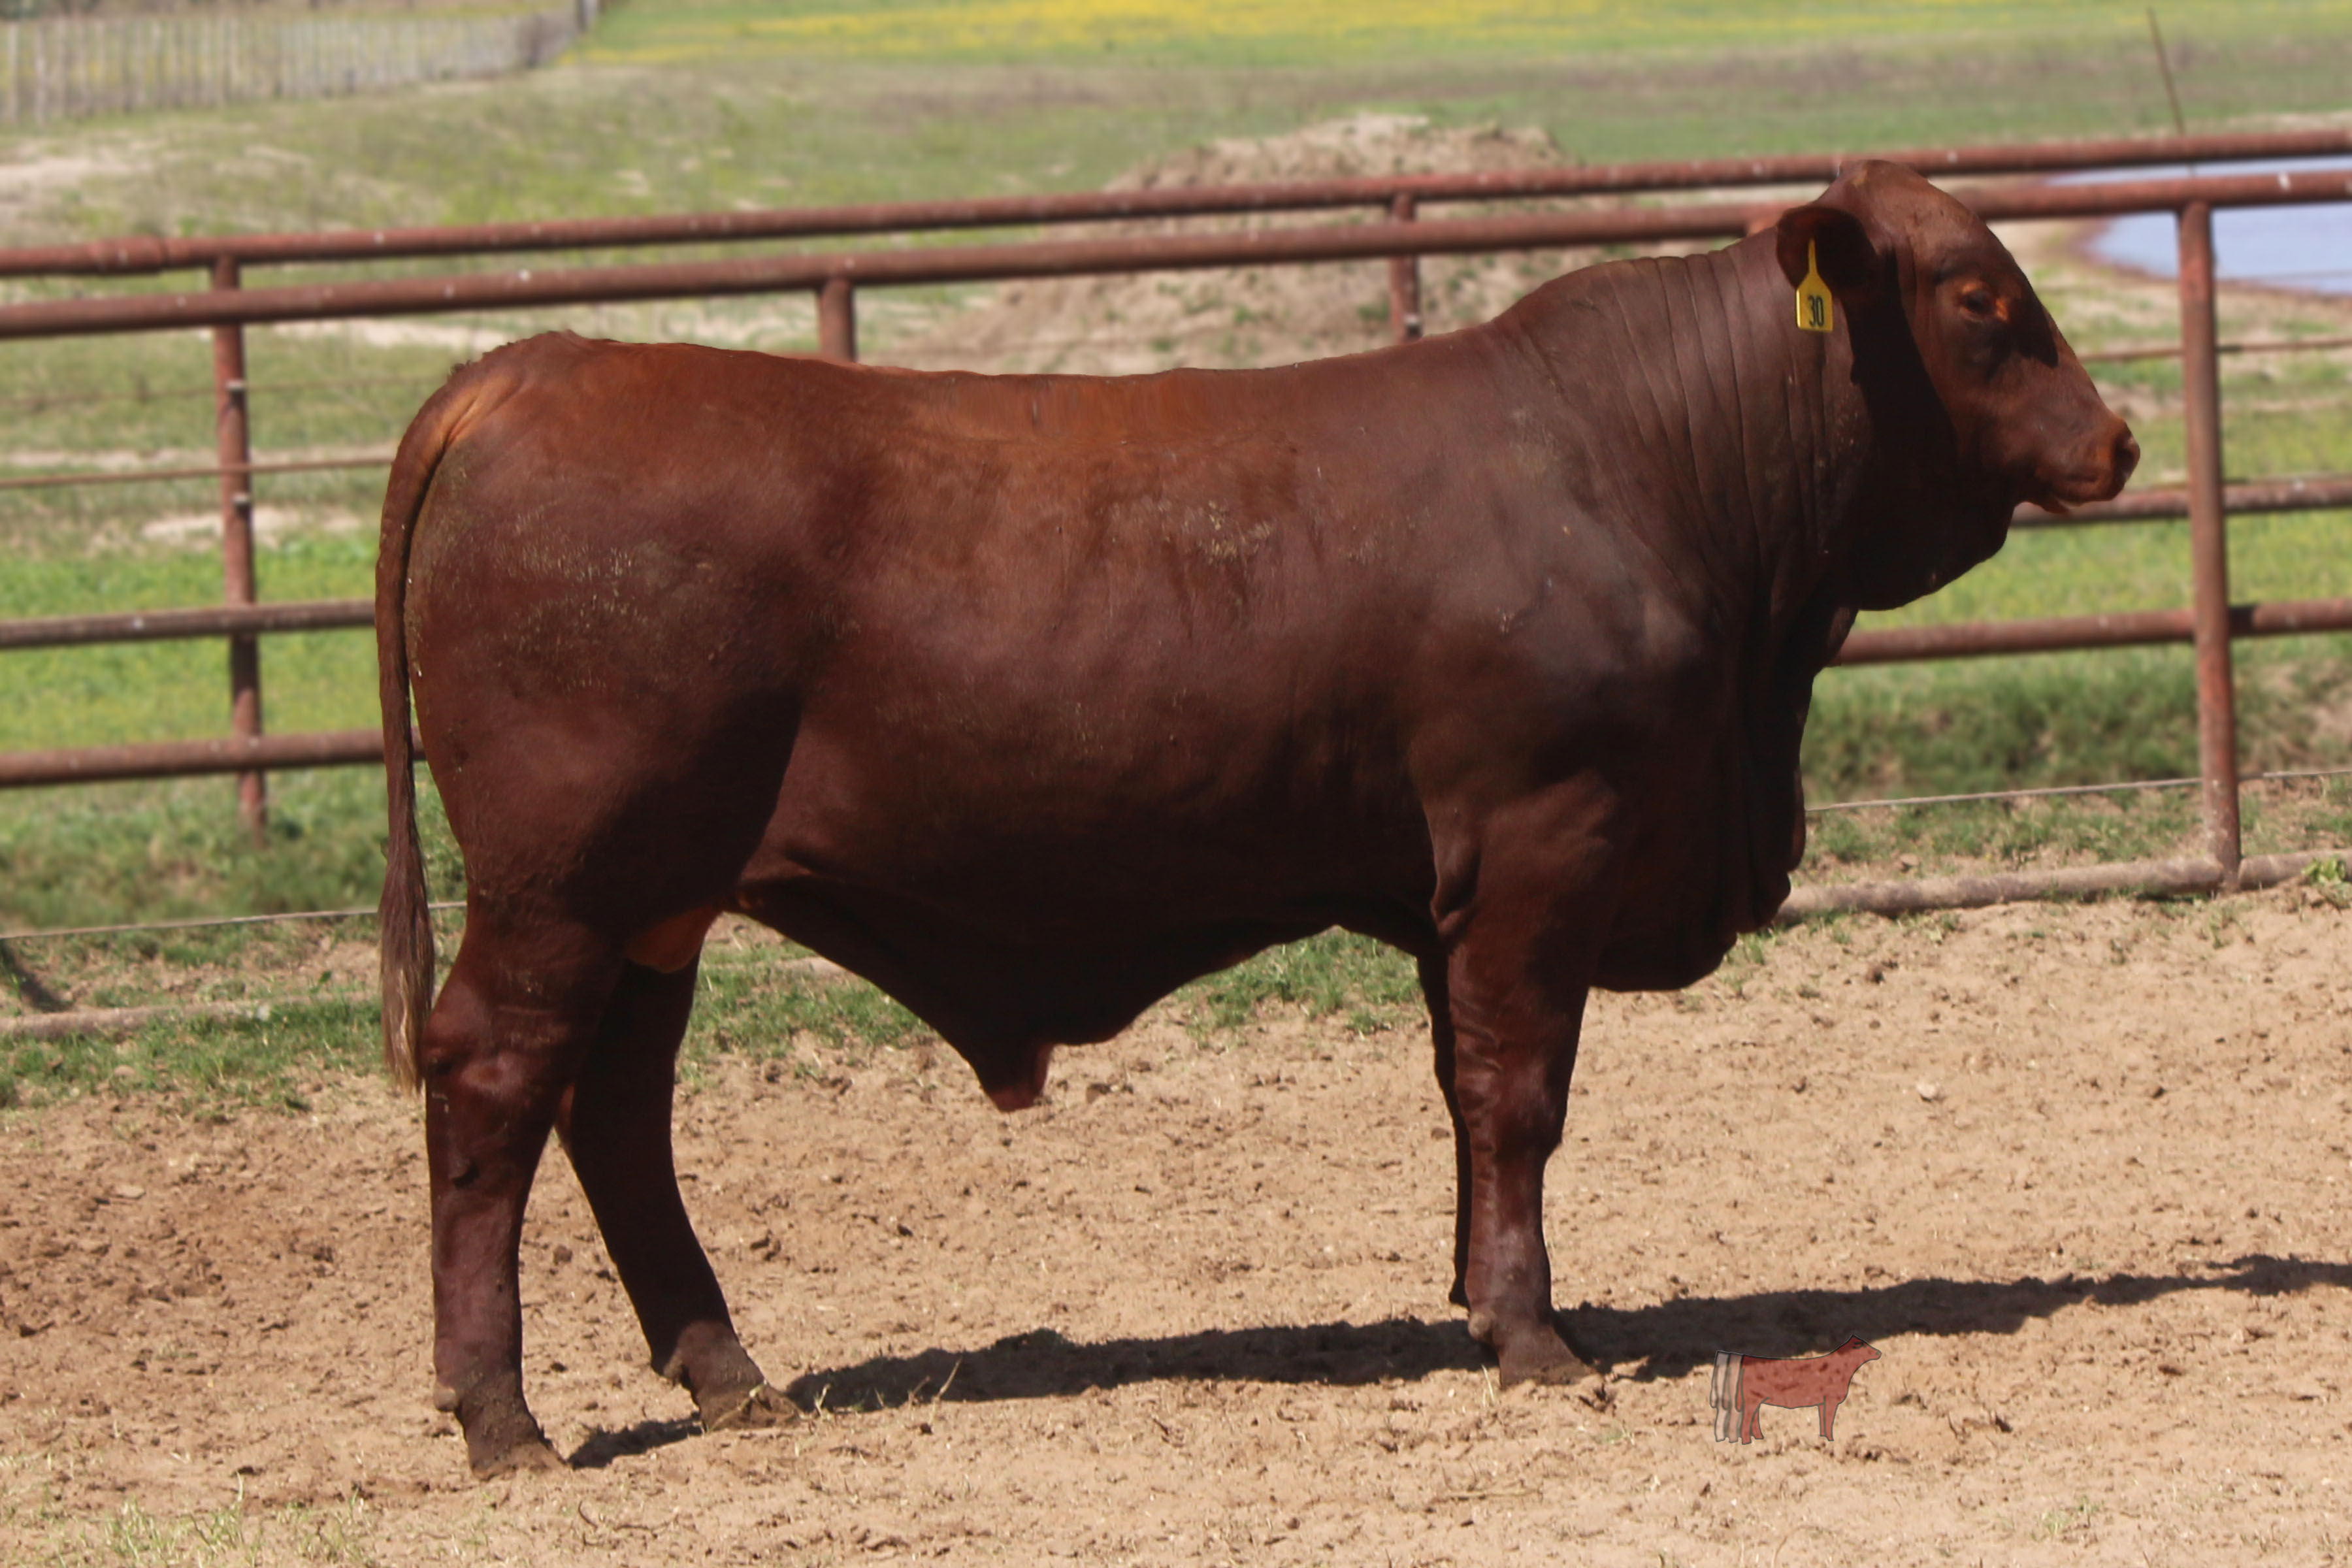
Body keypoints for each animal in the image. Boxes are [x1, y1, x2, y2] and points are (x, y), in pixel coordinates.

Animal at [1711, 1337, 1883, 1443]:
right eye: (1862, 1345)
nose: (1879, 1352)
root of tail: (1747, 1359)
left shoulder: (1822, 1401)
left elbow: (1823, 1419)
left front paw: (1823, 1437)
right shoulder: (1832, 1399)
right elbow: (1829, 1419)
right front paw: (1831, 1439)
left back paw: (1760, 1438)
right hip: (1752, 1399)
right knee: (1747, 1420)